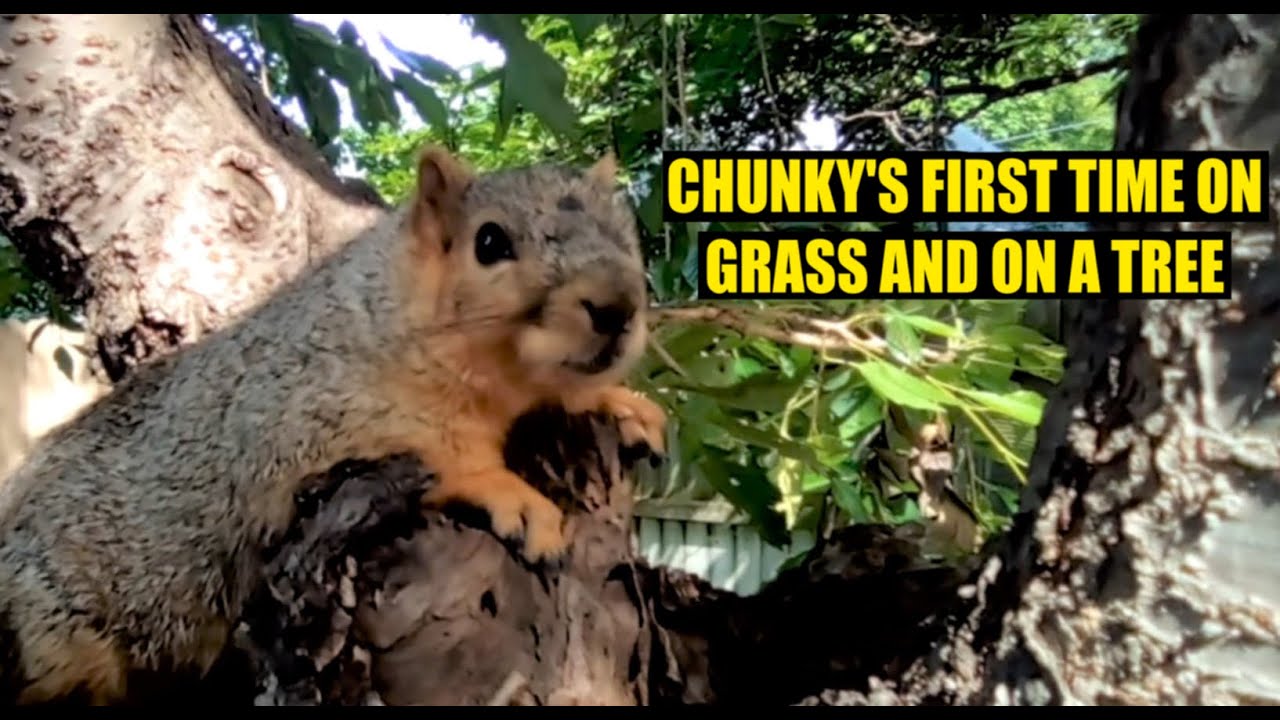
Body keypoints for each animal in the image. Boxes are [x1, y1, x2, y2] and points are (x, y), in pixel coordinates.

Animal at [0, 145, 667, 705]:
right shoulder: (298, 418)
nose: (617, 307)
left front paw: (622, 403)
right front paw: (512, 495)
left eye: (625, 232)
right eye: (489, 241)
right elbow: (442, 456)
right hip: (55, 627)